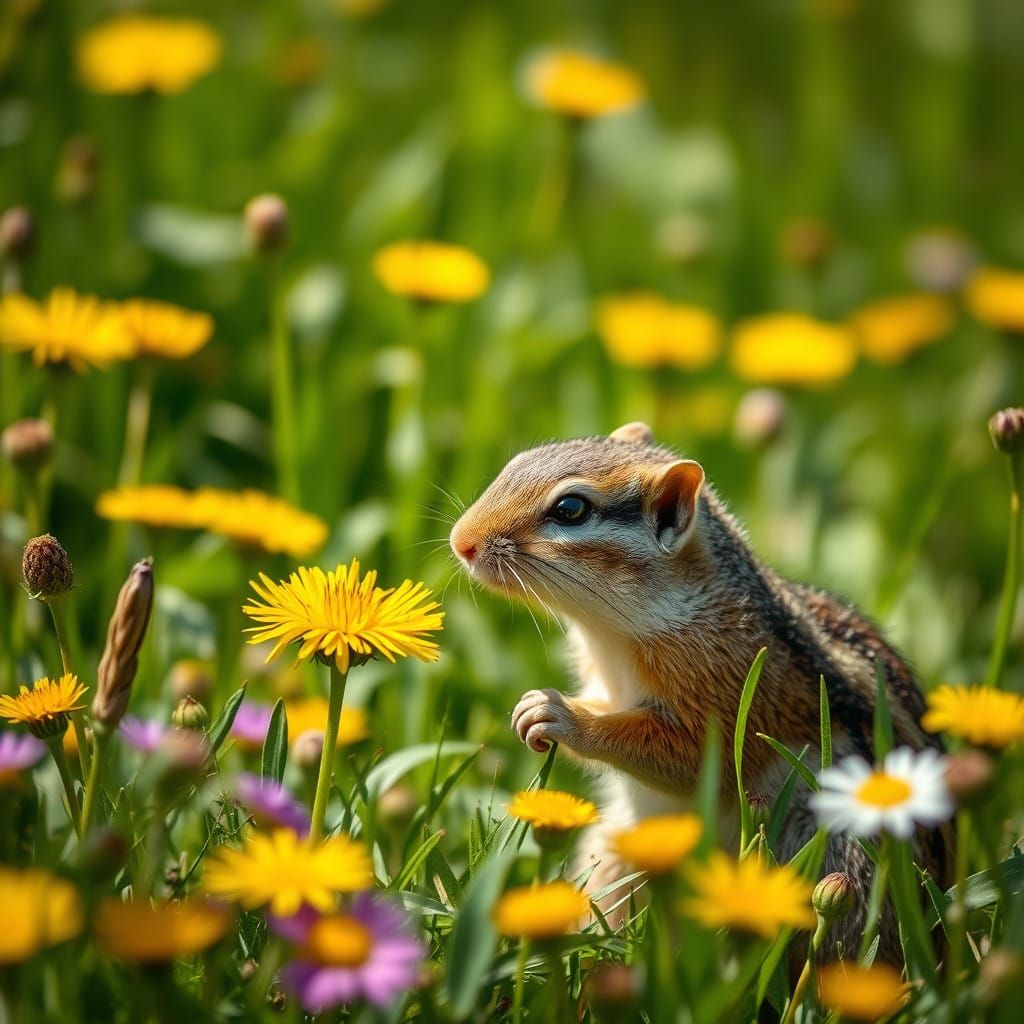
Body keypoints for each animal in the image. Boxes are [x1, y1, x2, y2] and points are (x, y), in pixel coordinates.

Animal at [449, 421, 951, 958]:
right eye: (515, 464)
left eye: (570, 509)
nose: (461, 542)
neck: (613, 634)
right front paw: (532, 707)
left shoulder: (731, 686)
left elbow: (691, 758)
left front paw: (564, 718)